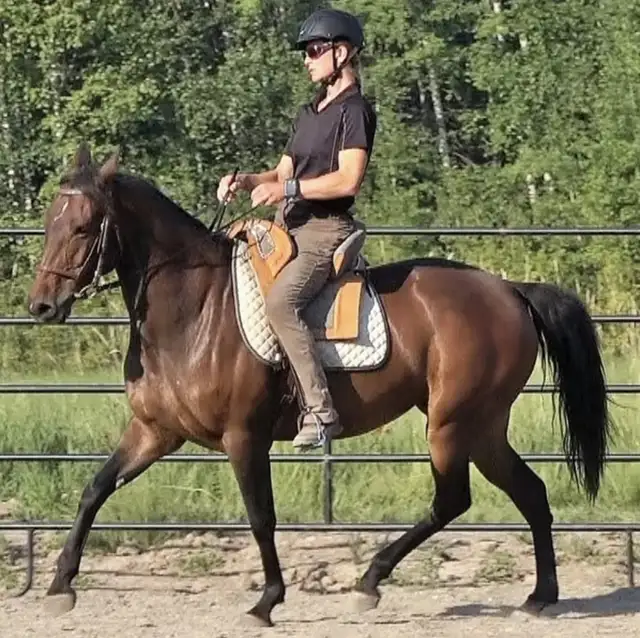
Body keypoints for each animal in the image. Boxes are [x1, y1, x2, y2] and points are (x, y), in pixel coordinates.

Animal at [26, 143, 612, 626]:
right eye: (50, 222)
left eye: (83, 228)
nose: (41, 307)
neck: (194, 309)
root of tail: (511, 290)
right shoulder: (154, 431)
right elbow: (94, 490)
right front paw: (60, 586)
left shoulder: (244, 437)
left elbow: (261, 517)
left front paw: (266, 602)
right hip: (483, 426)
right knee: (529, 492)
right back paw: (540, 595)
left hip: (452, 423)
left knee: (452, 501)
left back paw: (371, 581)